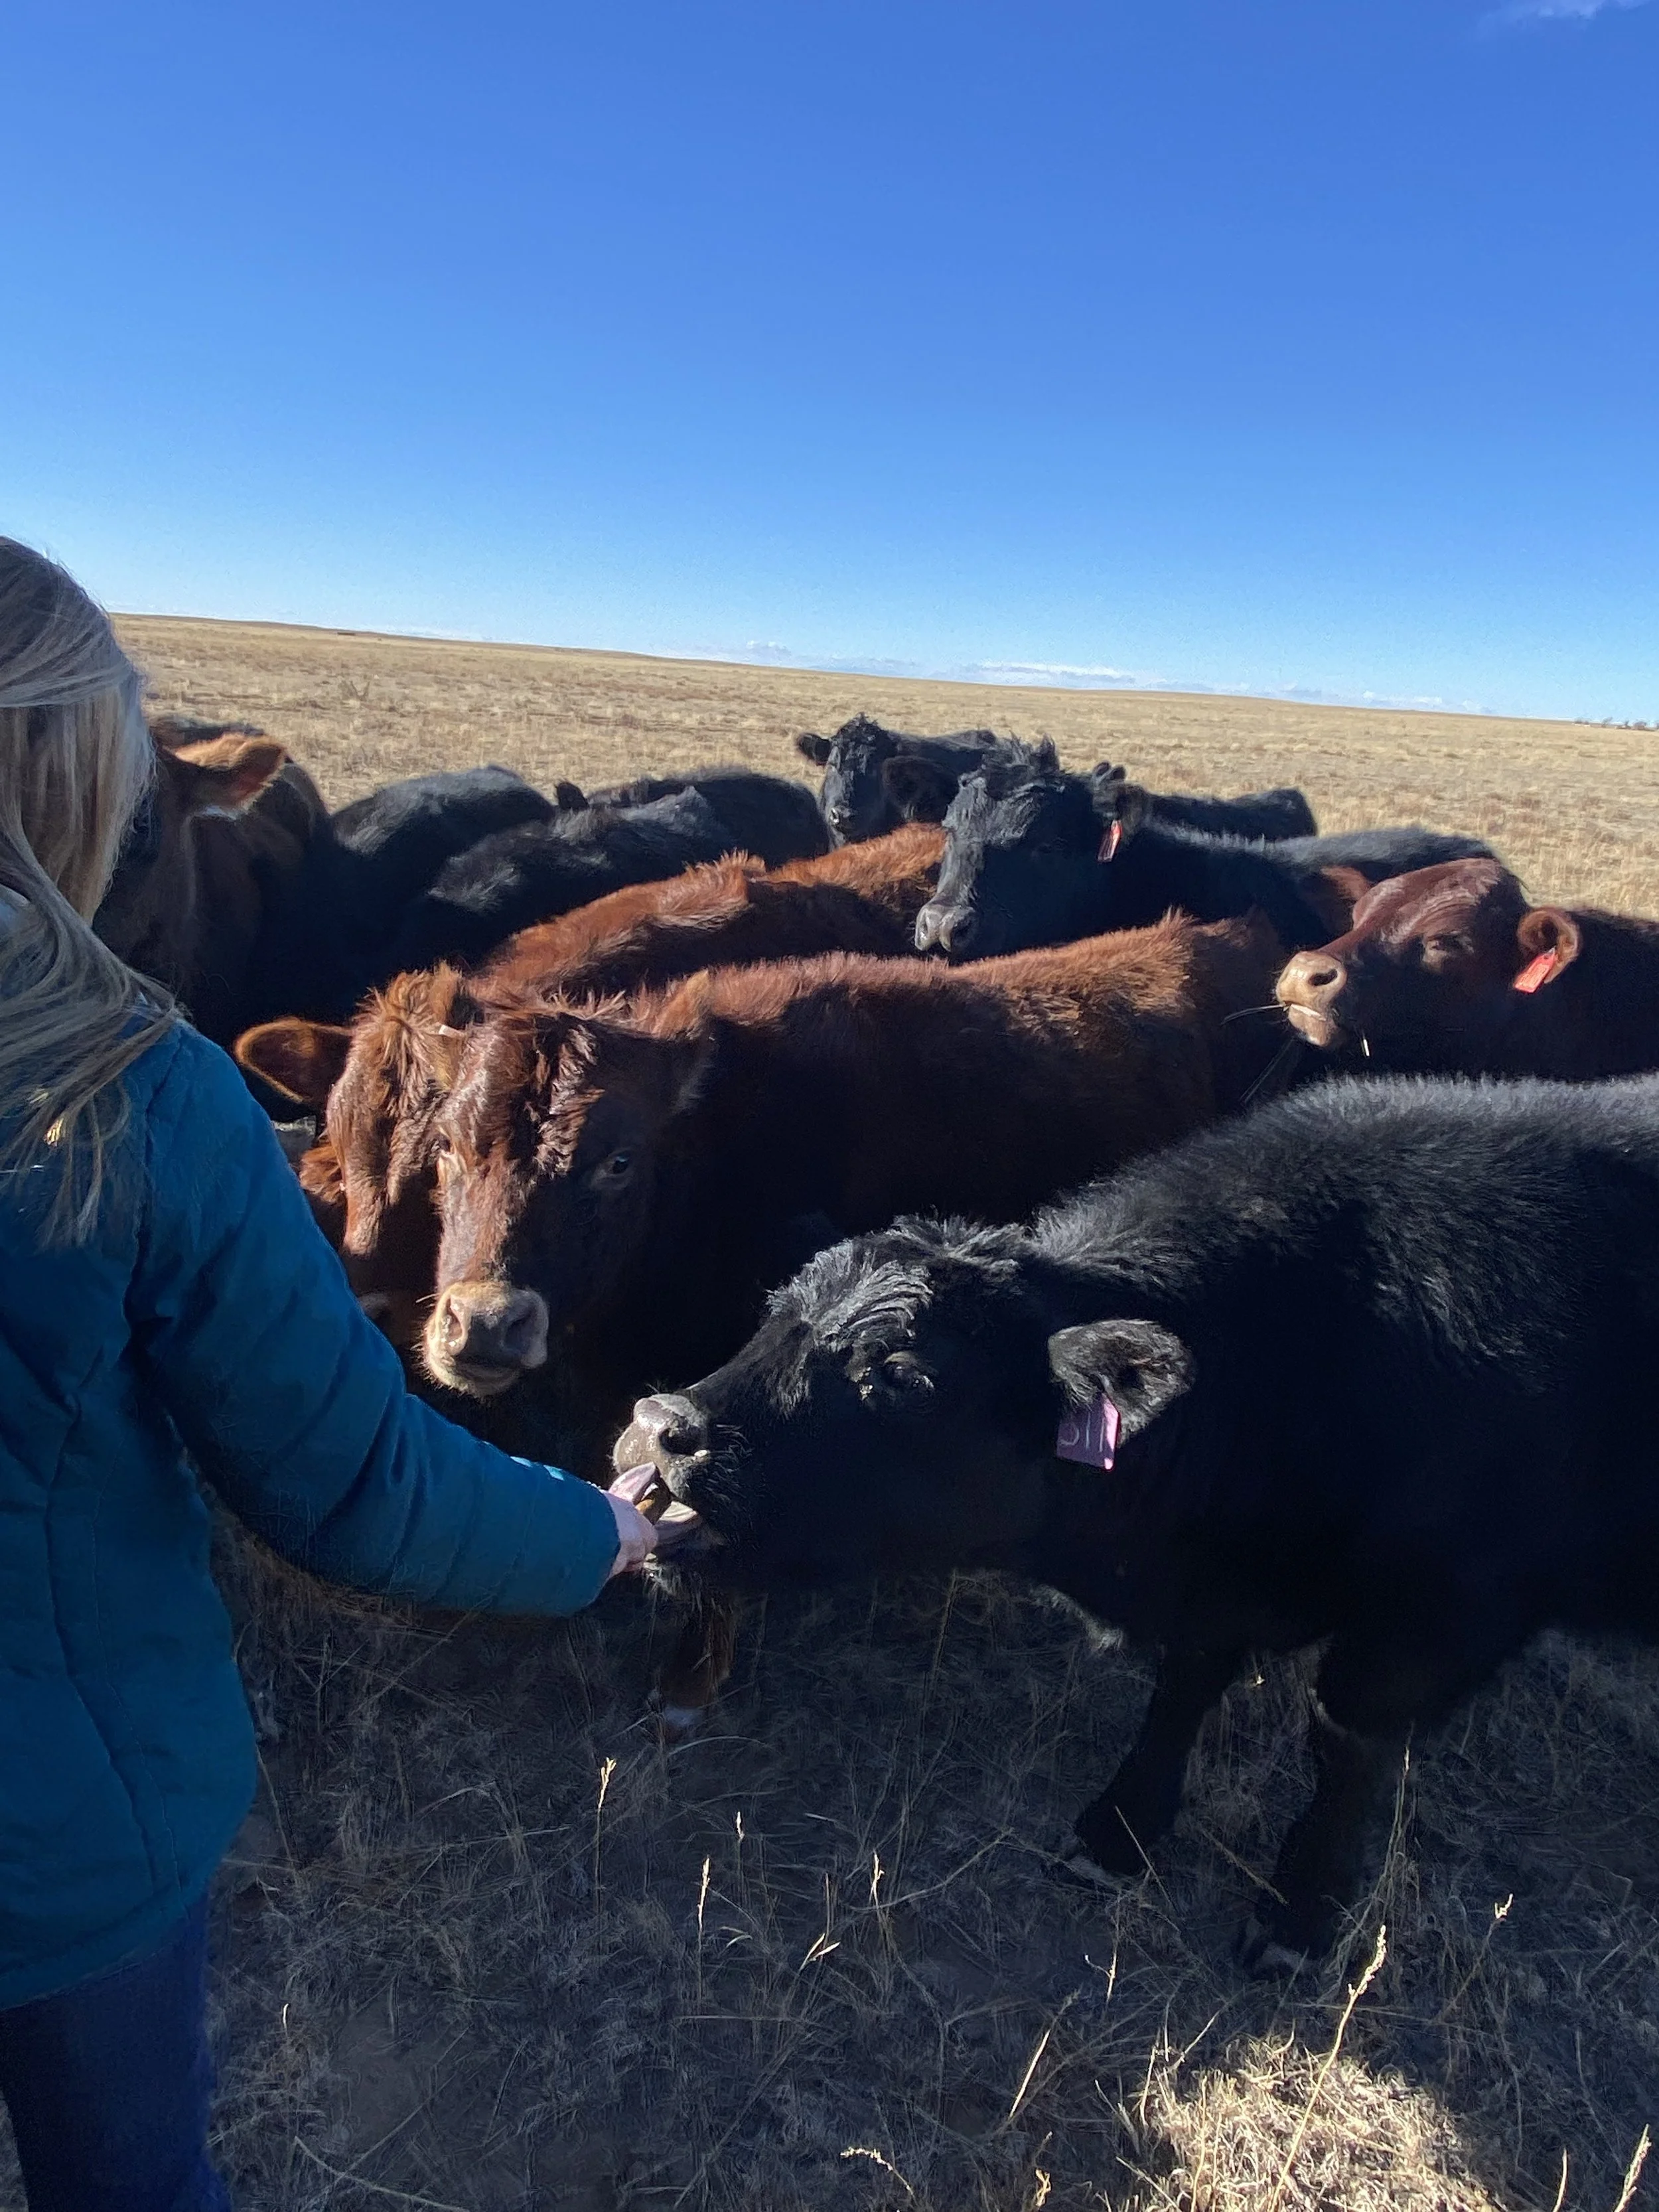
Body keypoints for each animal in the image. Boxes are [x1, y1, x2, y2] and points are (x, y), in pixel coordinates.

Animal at [614, 1074, 1659, 1967]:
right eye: (772, 1311)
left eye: (905, 1375)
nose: (666, 1425)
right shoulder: (1213, 1601)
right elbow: (1185, 1687)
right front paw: (1120, 1831)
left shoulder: (1439, 1618)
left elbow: (1343, 1745)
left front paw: (1298, 1913)